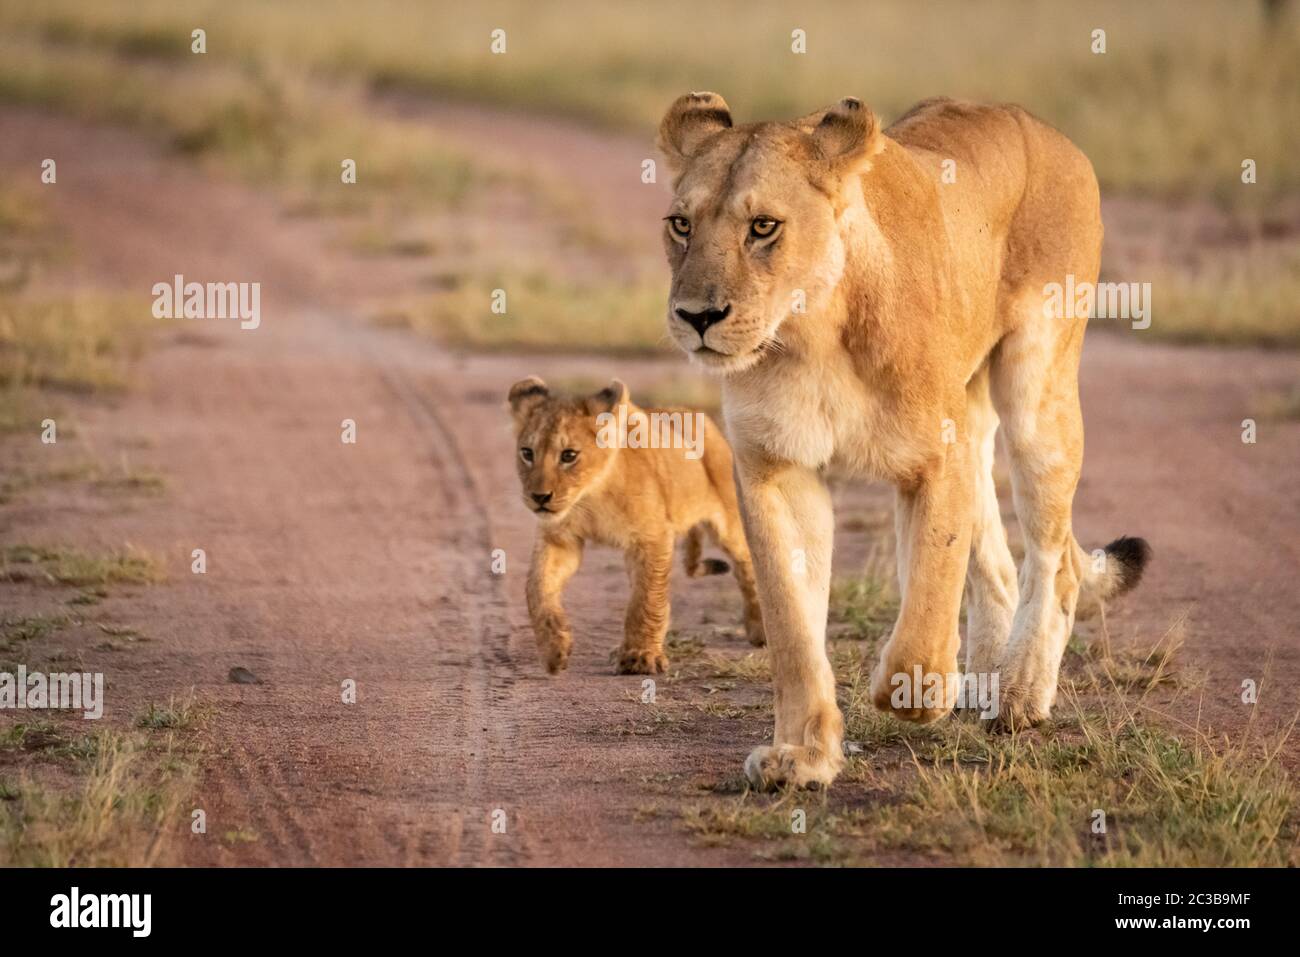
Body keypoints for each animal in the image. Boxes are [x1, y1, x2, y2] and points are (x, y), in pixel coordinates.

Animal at [507, 376, 764, 675]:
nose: (539, 497)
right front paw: (553, 648)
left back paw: (760, 629)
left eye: (569, 455)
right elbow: (537, 587)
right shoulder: (560, 539)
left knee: (747, 564)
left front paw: (640, 657)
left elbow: (645, 599)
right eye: (527, 453)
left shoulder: (651, 537)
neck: (590, 497)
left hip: (728, 522)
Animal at [656, 93, 1151, 790]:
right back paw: (989, 680)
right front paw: (802, 756)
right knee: (999, 560)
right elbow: (792, 626)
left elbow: (927, 603)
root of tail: (1047, 129)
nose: (697, 317)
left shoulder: (934, 460)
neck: (812, 334)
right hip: (974, 419)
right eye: (680, 224)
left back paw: (1020, 693)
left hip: (1037, 395)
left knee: (1055, 562)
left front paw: (921, 692)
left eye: (763, 227)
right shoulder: (774, 469)